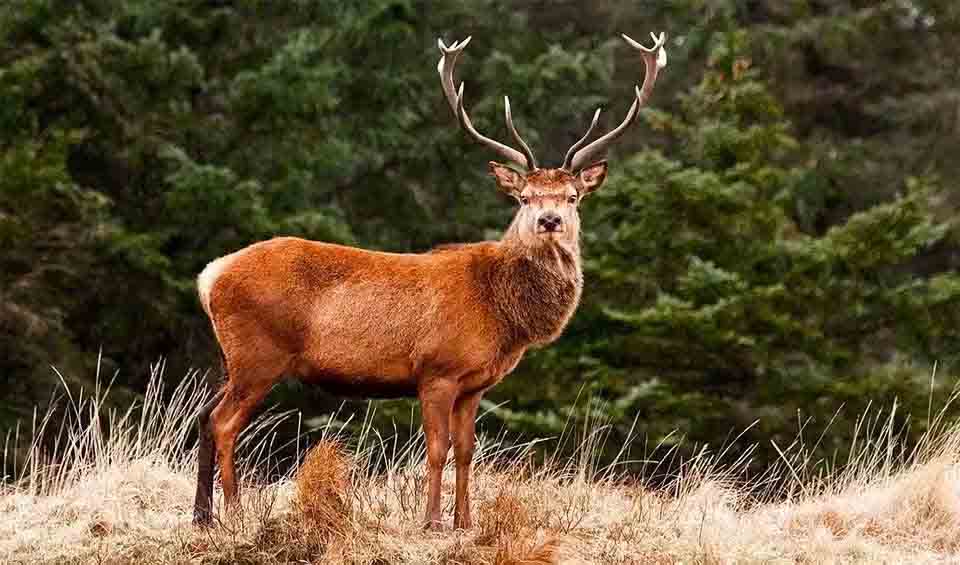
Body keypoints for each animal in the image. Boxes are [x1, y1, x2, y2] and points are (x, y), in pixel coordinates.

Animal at [192, 31, 667, 530]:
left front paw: (465, 521)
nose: (550, 220)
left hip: (233, 358)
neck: (502, 314)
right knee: (224, 423)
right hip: (259, 354)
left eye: (573, 196)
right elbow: (437, 450)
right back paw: (235, 512)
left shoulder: (474, 384)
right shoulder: (438, 370)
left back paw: (203, 515)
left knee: (205, 416)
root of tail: (210, 276)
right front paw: (432, 521)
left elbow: (467, 452)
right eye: (524, 197)